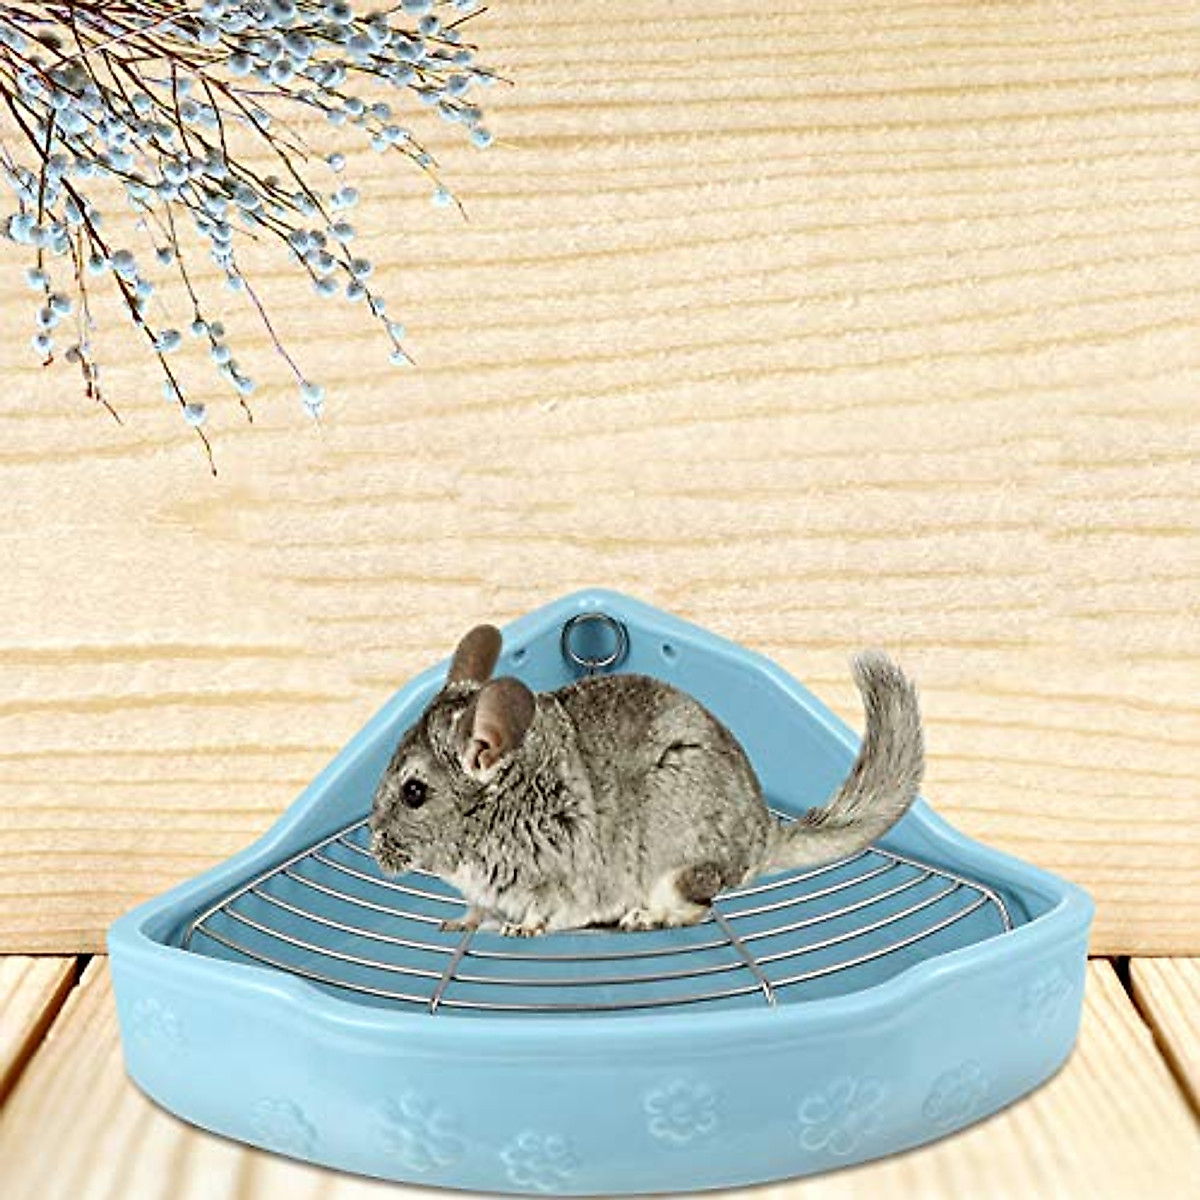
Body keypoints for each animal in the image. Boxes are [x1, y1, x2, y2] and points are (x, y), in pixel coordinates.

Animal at [369, 624, 924, 937]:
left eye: (414, 792)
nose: (375, 847)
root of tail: (763, 833)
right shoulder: (481, 891)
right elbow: (473, 910)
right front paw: (456, 923)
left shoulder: (558, 876)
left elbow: (542, 911)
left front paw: (520, 931)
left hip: (674, 862)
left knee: (698, 908)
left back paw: (645, 918)